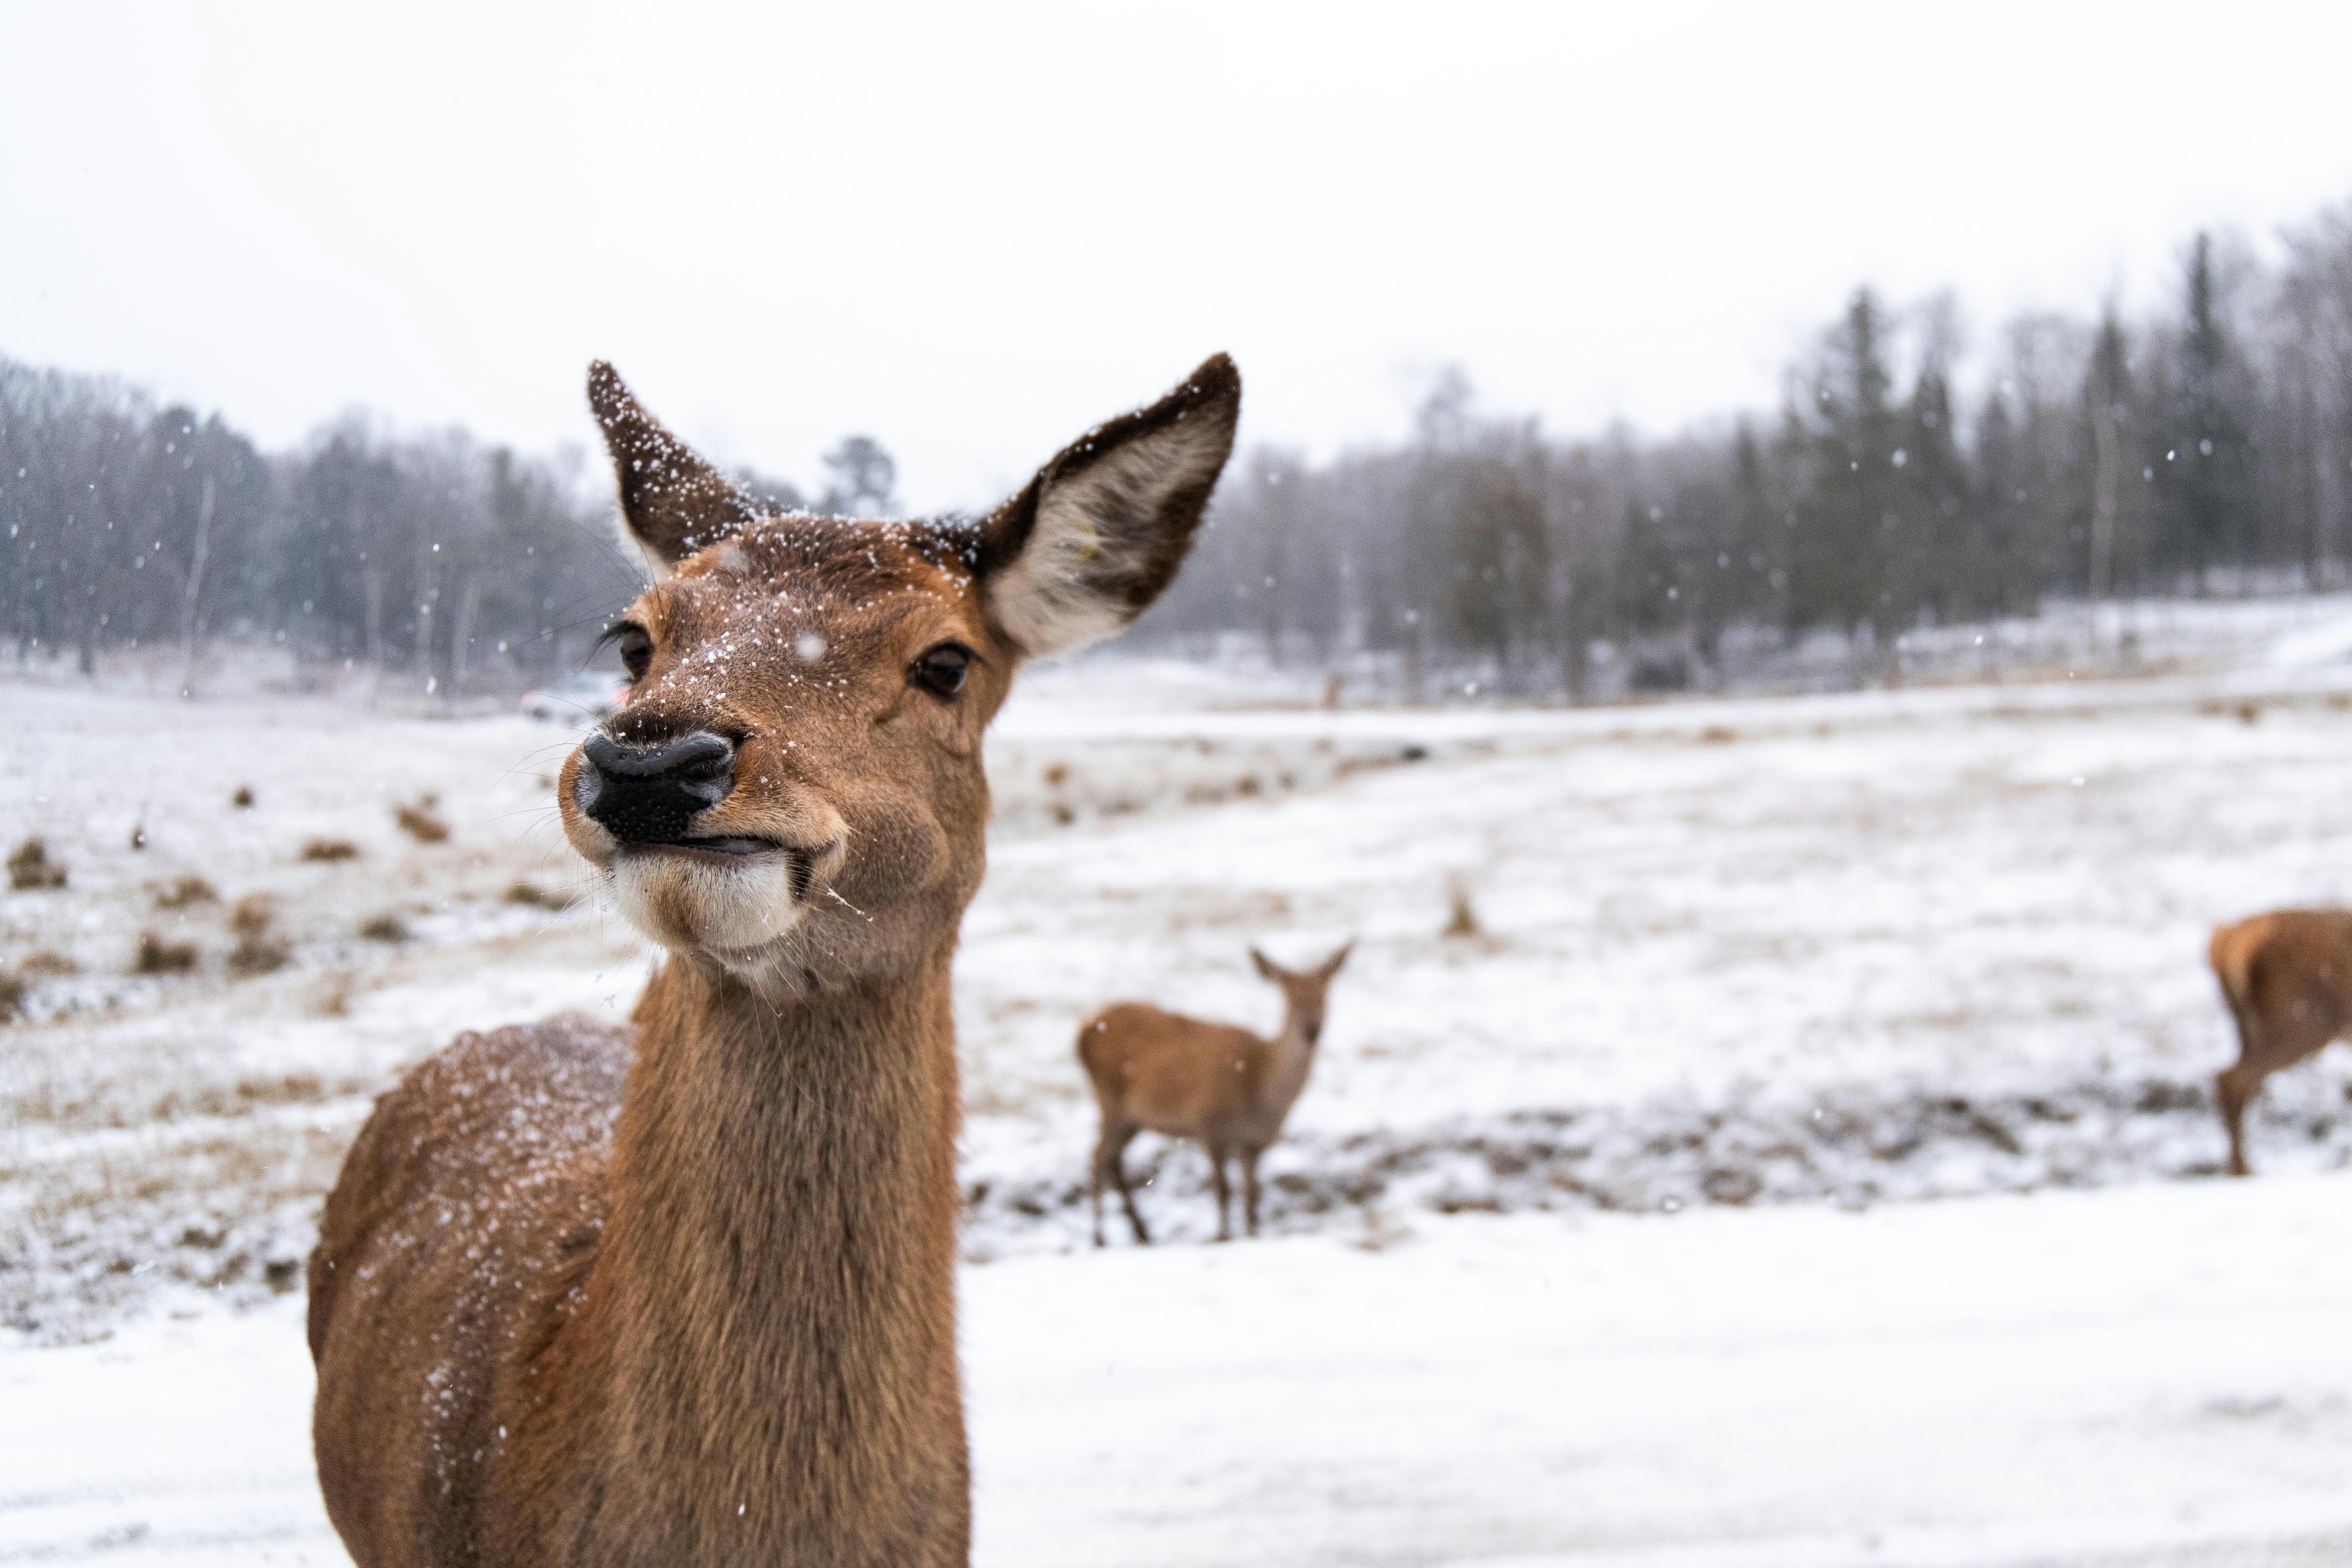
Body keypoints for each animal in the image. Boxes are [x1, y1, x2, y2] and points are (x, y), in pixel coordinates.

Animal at [1077, 942, 1351, 1246]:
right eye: (1290, 999)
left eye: (1325, 996)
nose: (1312, 1029)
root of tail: (1082, 1031)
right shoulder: (1210, 1125)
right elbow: (1223, 1190)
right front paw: (1223, 1237)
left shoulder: (1255, 1143)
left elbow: (1252, 1198)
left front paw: (1252, 1236)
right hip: (1109, 1097)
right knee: (1098, 1156)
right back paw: (1100, 1237)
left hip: (1132, 1117)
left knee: (1113, 1158)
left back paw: (1141, 1232)